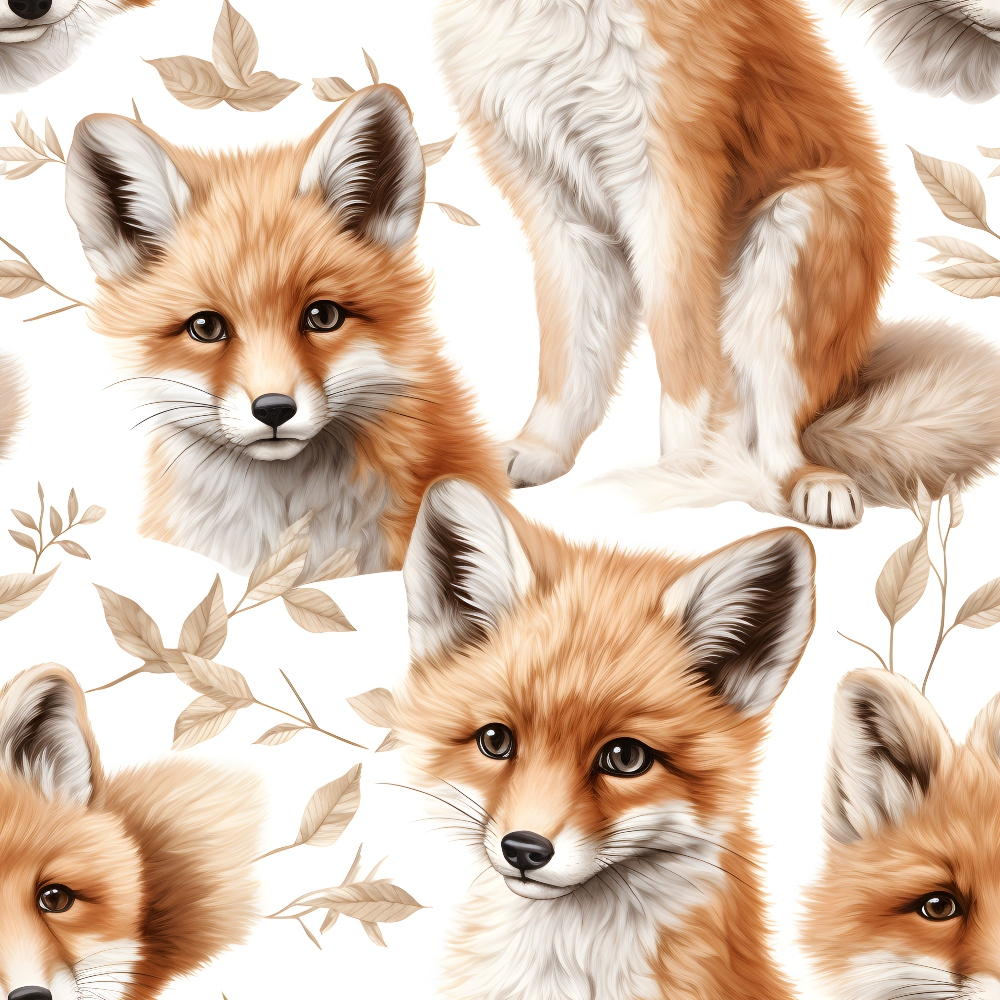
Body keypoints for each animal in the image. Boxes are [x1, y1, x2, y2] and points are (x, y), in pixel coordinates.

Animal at [434, 0, 1000, 526]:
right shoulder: (561, 214)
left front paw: (686, 469)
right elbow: (568, 355)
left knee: (778, 435)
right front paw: (541, 451)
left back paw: (807, 483)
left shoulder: (671, 191)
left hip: (796, 229)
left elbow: (684, 356)